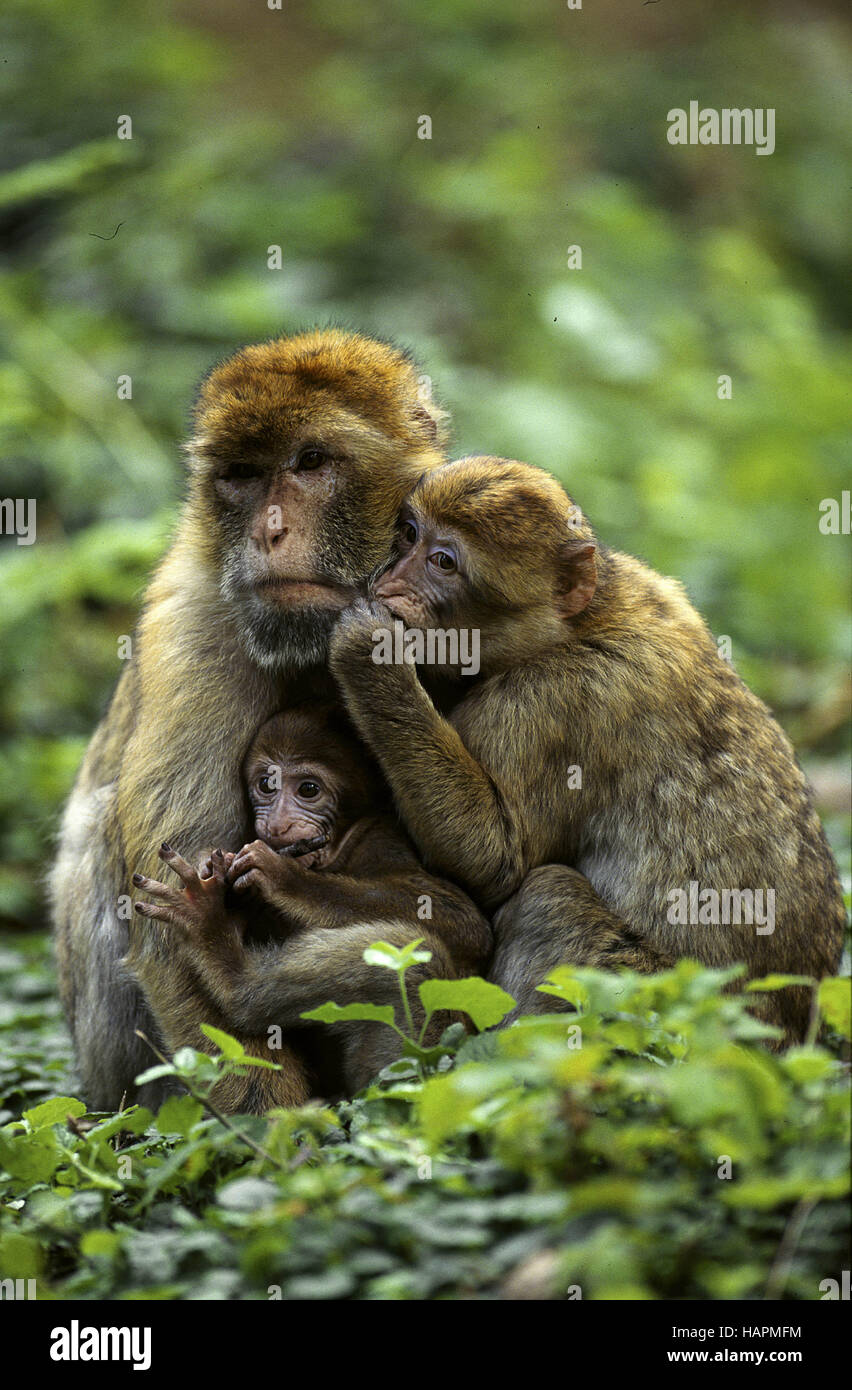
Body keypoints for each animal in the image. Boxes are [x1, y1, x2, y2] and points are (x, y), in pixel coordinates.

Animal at [50, 329, 455, 1112]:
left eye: (310, 462)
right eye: (241, 475)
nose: (270, 530)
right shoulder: (195, 630)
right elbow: (171, 930)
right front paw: (288, 1141)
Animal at [130, 705, 491, 1098]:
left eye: (308, 790)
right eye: (267, 785)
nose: (277, 824)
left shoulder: (379, 837)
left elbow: (465, 923)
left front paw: (281, 876)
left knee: (413, 963)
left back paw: (224, 953)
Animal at [329, 455, 847, 1042]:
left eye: (443, 562)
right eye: (410, 535)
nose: (391, 583)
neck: (574, 626)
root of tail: (792, 1031)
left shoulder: (550, 703)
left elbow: (495, 861)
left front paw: (371, 655)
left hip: (665, 1009)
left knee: (551, 900)